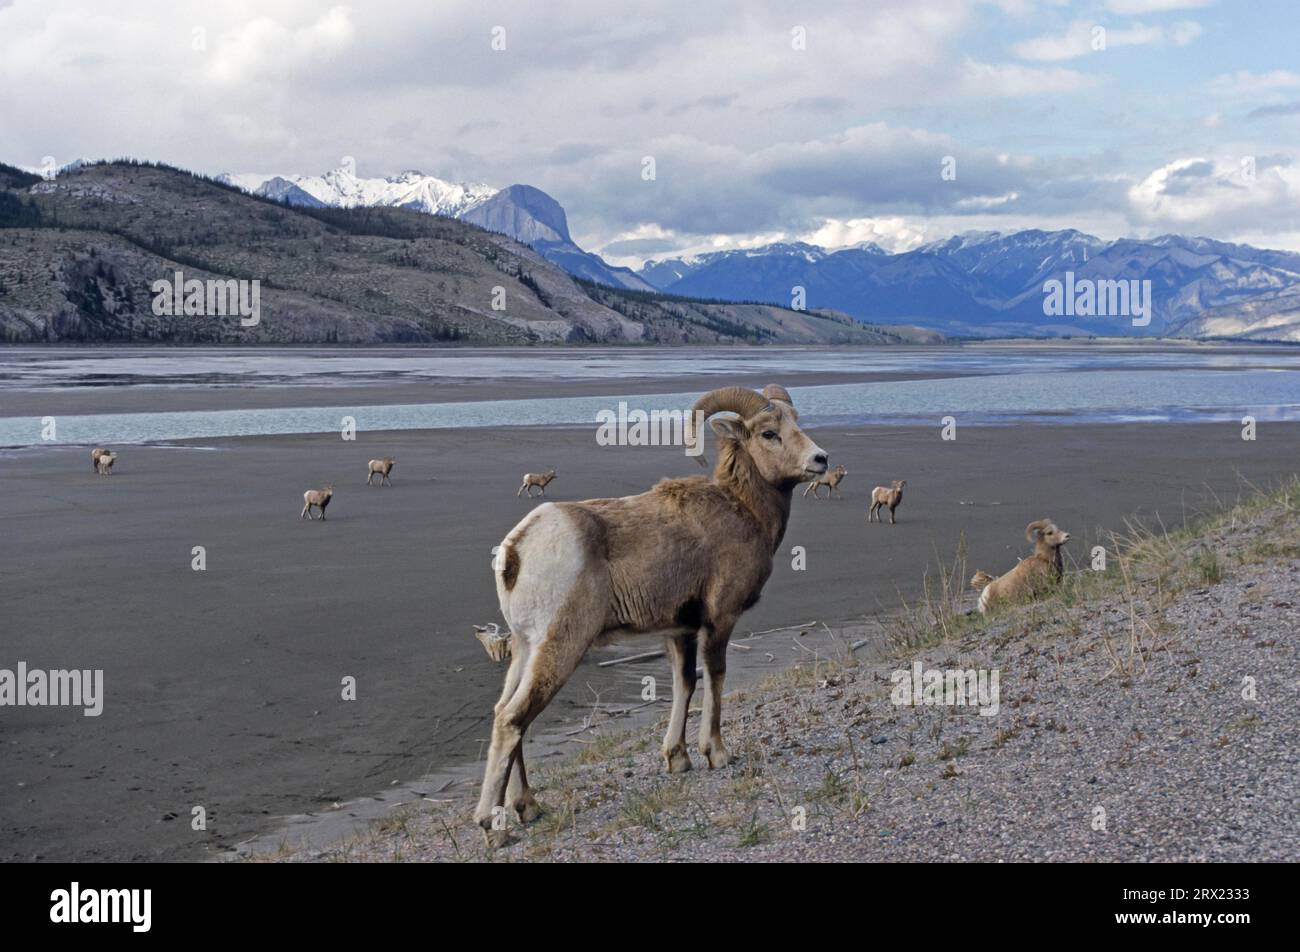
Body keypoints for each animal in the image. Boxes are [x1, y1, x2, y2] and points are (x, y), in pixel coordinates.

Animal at [475, 384, 827, 846]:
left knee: (508, 713)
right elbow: (715, 680)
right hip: (561, 646)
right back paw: (493, 827)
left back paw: (528, 808)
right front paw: (717, 754)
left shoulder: (678, 631)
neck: (743, 511)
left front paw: (677, 759)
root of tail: (516, 549)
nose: (820, 460)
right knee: (513, 719)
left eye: (796, 422)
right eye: (769, 433)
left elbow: (685, 685)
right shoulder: (719, 621)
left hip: (525, 649)